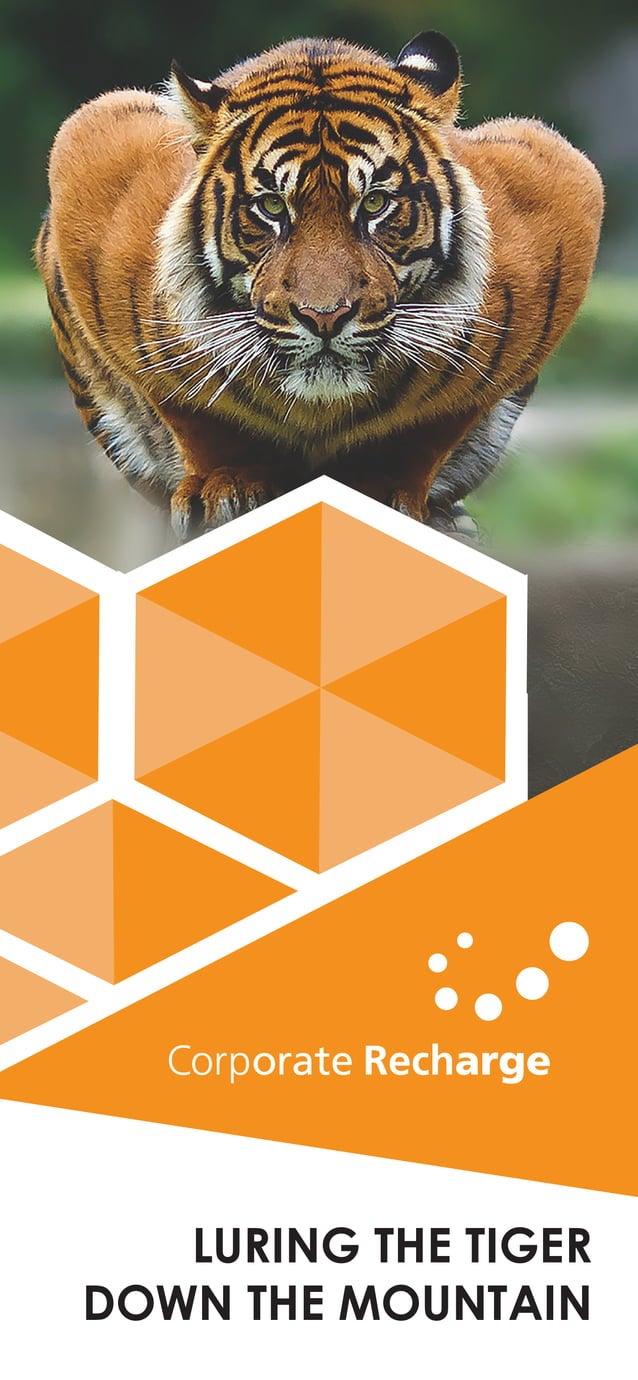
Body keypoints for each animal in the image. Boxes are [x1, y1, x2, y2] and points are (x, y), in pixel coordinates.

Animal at [36, 30, 603, 538]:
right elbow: (194, 412)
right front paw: (226, 484)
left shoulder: (561, 188)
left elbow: (432, 427)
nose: (324, 317)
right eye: (271, 206)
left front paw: (382, 488)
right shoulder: (92, 152)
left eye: (375, 203)